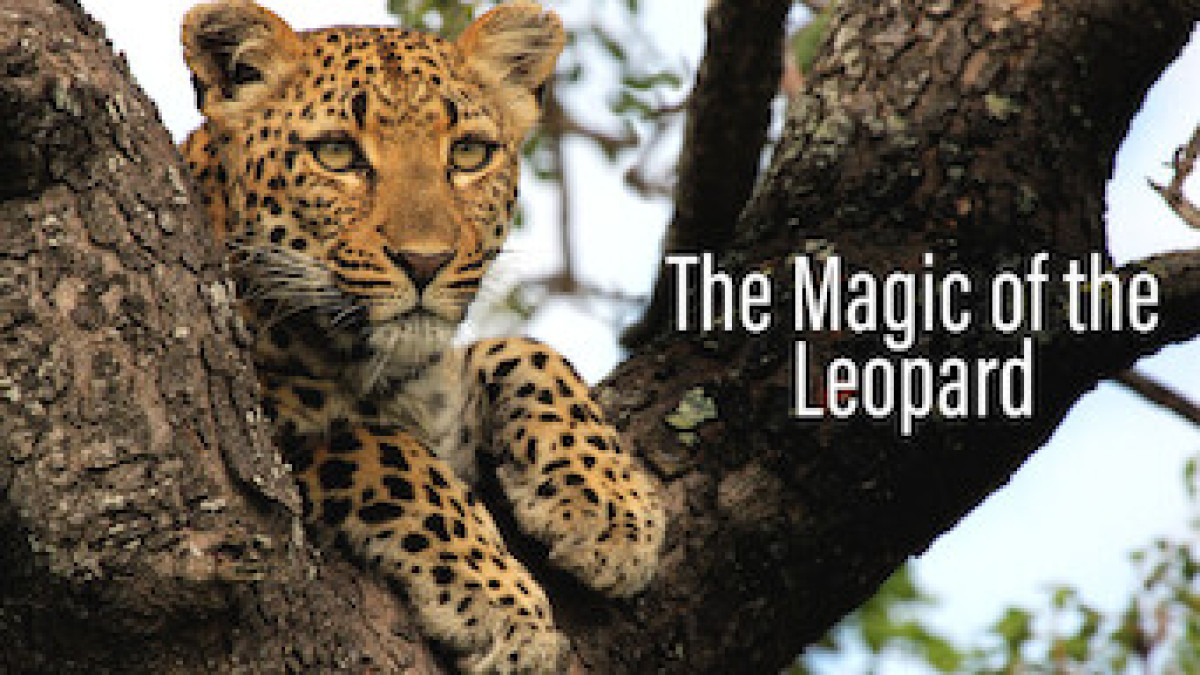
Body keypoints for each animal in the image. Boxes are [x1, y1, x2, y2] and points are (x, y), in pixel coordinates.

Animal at [178, 1, 666, 673]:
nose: (426, 261)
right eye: (336, 154)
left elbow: (530, 352)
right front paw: (508, 613)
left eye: (469, 153)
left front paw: (612, 511)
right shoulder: (273, 417)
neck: (376, 366)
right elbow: (386, 449)